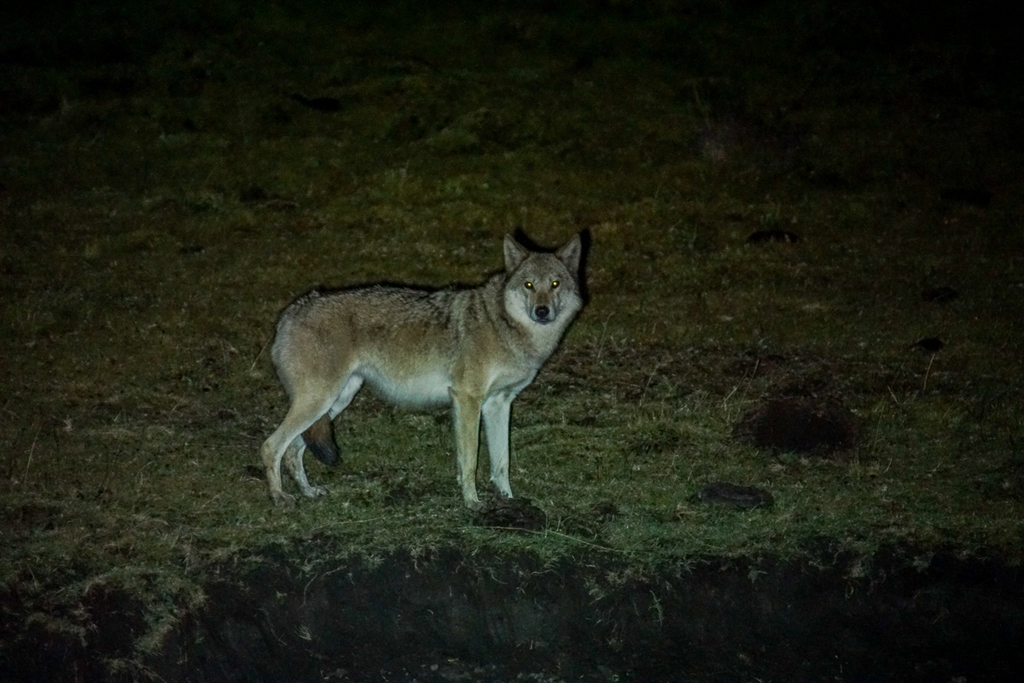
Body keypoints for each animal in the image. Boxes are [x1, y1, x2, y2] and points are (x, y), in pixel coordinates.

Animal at [259, 233, 584, 509]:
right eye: (529, 285)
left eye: (555, 284)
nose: (542, 312)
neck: (504, 325)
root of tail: (291, 312)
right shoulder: (467, 399)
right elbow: (470, 460)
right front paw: (472, 503)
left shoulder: (499, 404)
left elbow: (501, 463)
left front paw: (508, 500)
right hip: (320, 401)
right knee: (270, 446)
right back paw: (280, 497)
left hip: (336, 401)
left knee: (293, 450)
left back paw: (308, 492)